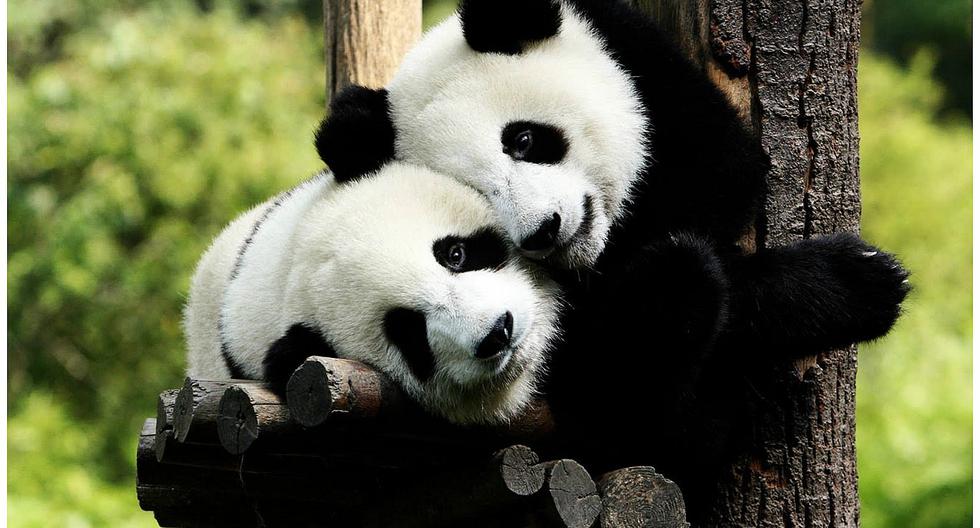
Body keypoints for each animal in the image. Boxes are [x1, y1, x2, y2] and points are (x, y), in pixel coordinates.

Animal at [313, 0, 909, 491]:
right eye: (478, 195)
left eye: (523, 140)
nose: (544, 230)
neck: (601, 247)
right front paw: (858, 283)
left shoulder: (648, 74)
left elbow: (724, 177)